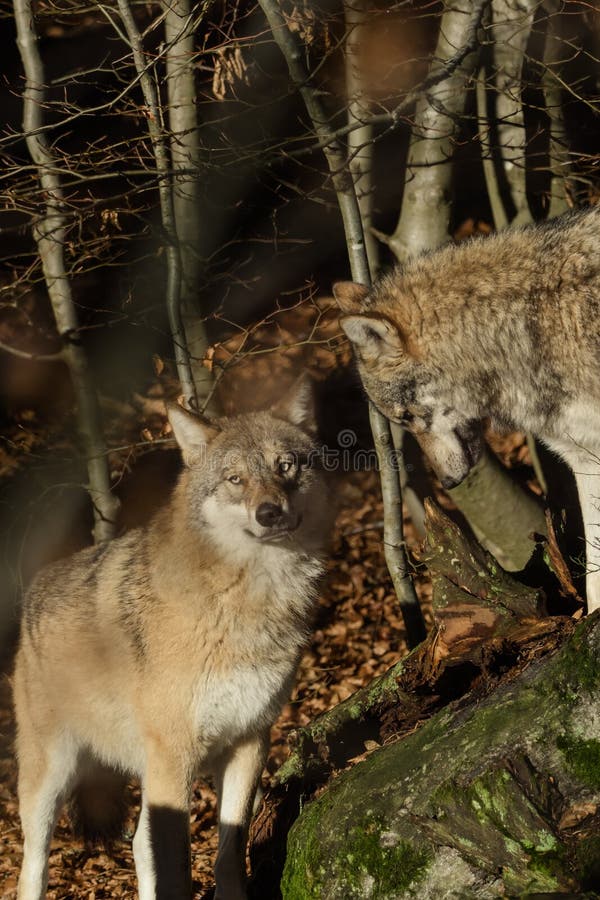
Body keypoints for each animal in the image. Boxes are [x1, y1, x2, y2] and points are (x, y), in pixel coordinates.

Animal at [14, 377, 331, 900]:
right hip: (51, 779)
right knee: (33, 868)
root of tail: (34, 588)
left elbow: (228, 851)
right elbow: (177, 868)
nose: (269, 512)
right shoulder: (175, 755)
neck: (247, 600)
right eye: (234, 479)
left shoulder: (250, 741)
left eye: (285, 465)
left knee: (139, 846)